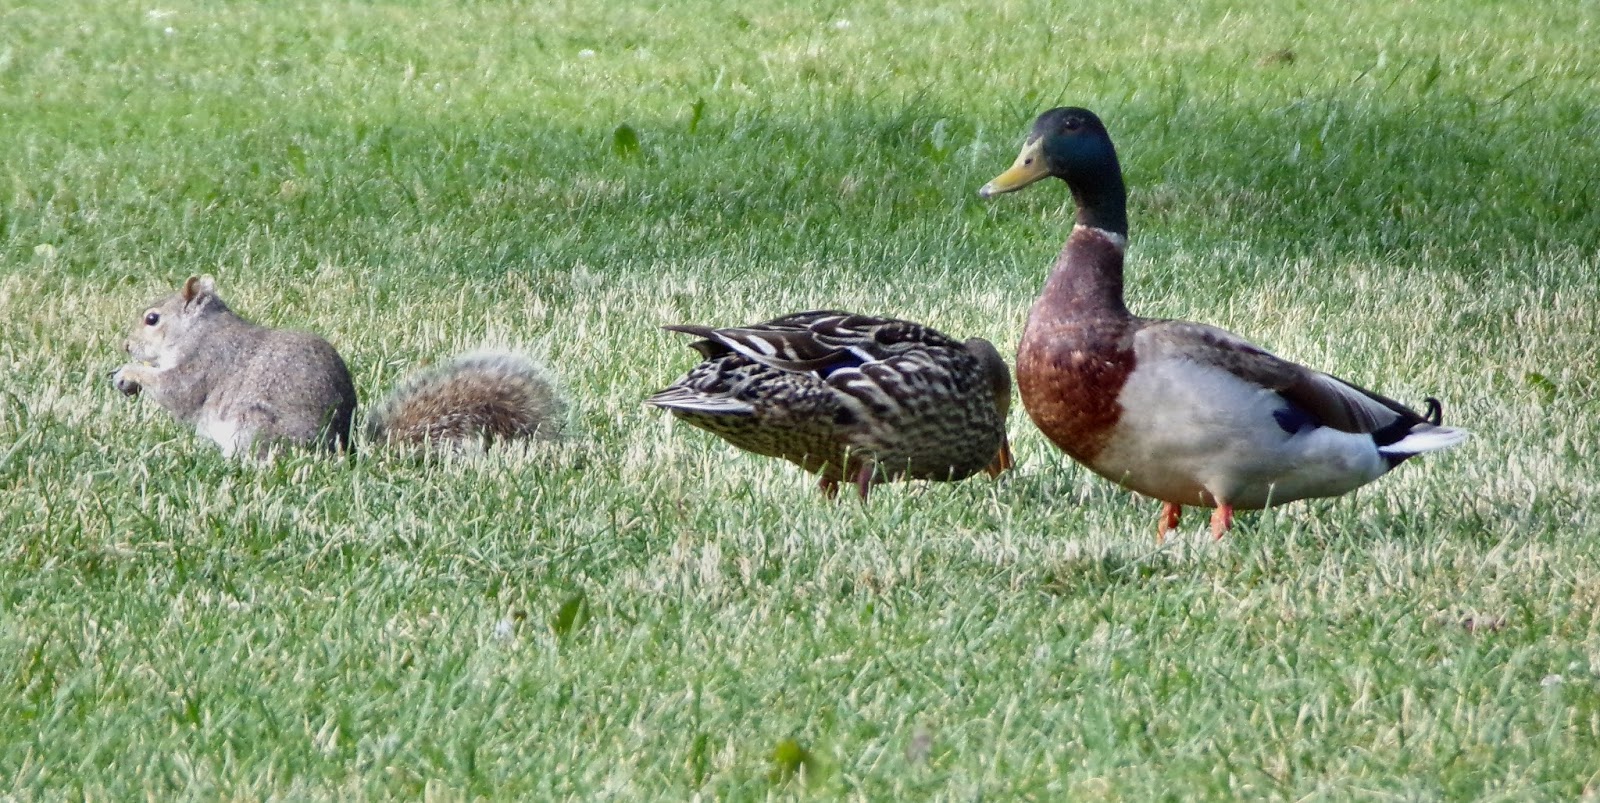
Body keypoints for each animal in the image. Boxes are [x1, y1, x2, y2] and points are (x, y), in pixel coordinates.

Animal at [110, 275, 564, 458]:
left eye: (152, 318)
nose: (127, 343)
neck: (199, 330)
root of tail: (342, 446)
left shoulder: (205, 364)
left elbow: (177, 392)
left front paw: (129, 373)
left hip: (254, 426)